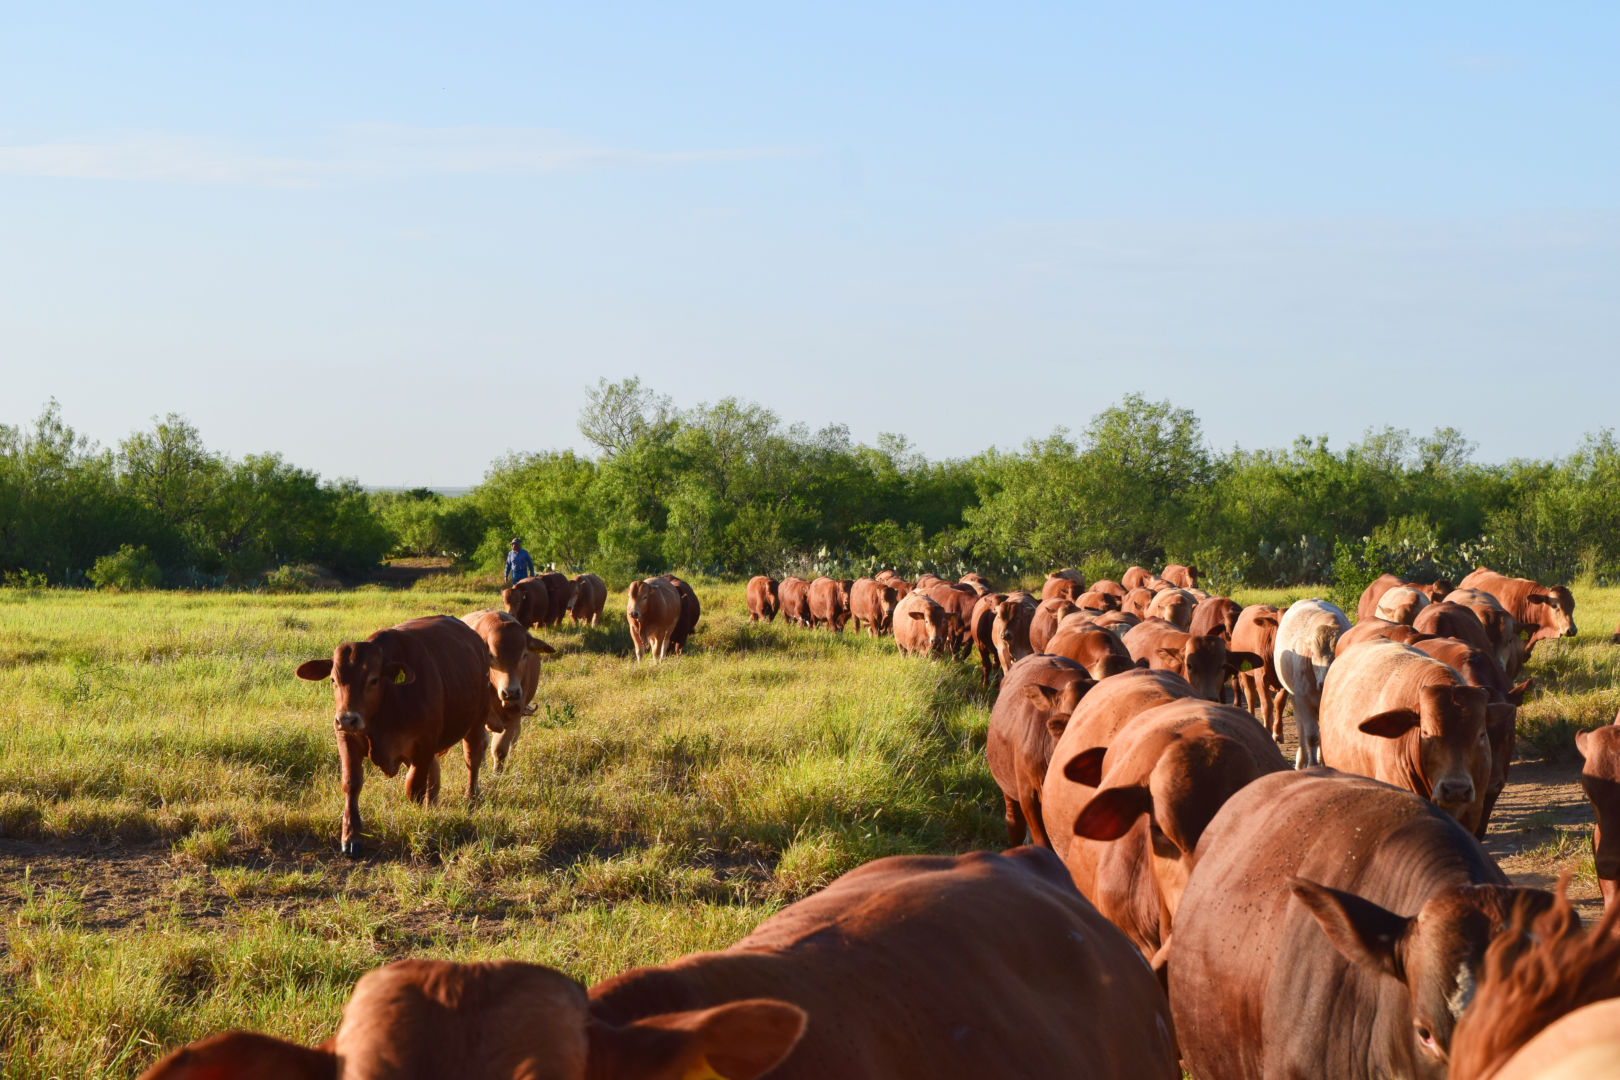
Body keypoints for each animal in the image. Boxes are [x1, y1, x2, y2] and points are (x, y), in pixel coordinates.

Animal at [296, 615, 493, 856]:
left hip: (476, 722)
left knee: (472, 760)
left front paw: (418, 824)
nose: (347, 719)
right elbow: (351, 783)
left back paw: (470, 798)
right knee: (435, 771)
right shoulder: (347, 739)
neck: (388, 703)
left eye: (373, 680)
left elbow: (414, 788)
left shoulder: (424, 746)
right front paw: (350, 836)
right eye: (333, 680)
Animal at [460, 610, 553, 772]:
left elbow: (500, 749)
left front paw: (497, 773)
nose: (511, 692)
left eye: (524, 655)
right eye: (491, 656)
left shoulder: (514, 715)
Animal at [1230, 604, 1286, 739]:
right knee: (1250, 696)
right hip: (1245, 673)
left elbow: (1279, 703)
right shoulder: (1261, 679)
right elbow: (1266, 705)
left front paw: (1277, 733)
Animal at [1273, 598, 1351, 768]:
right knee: (1301, 729)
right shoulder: (1304, 701)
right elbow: (1312, 736)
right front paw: (1313, 765)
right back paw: (1301, 761)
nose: (1324, 682)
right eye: (1314, 654)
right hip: (1295, 699)